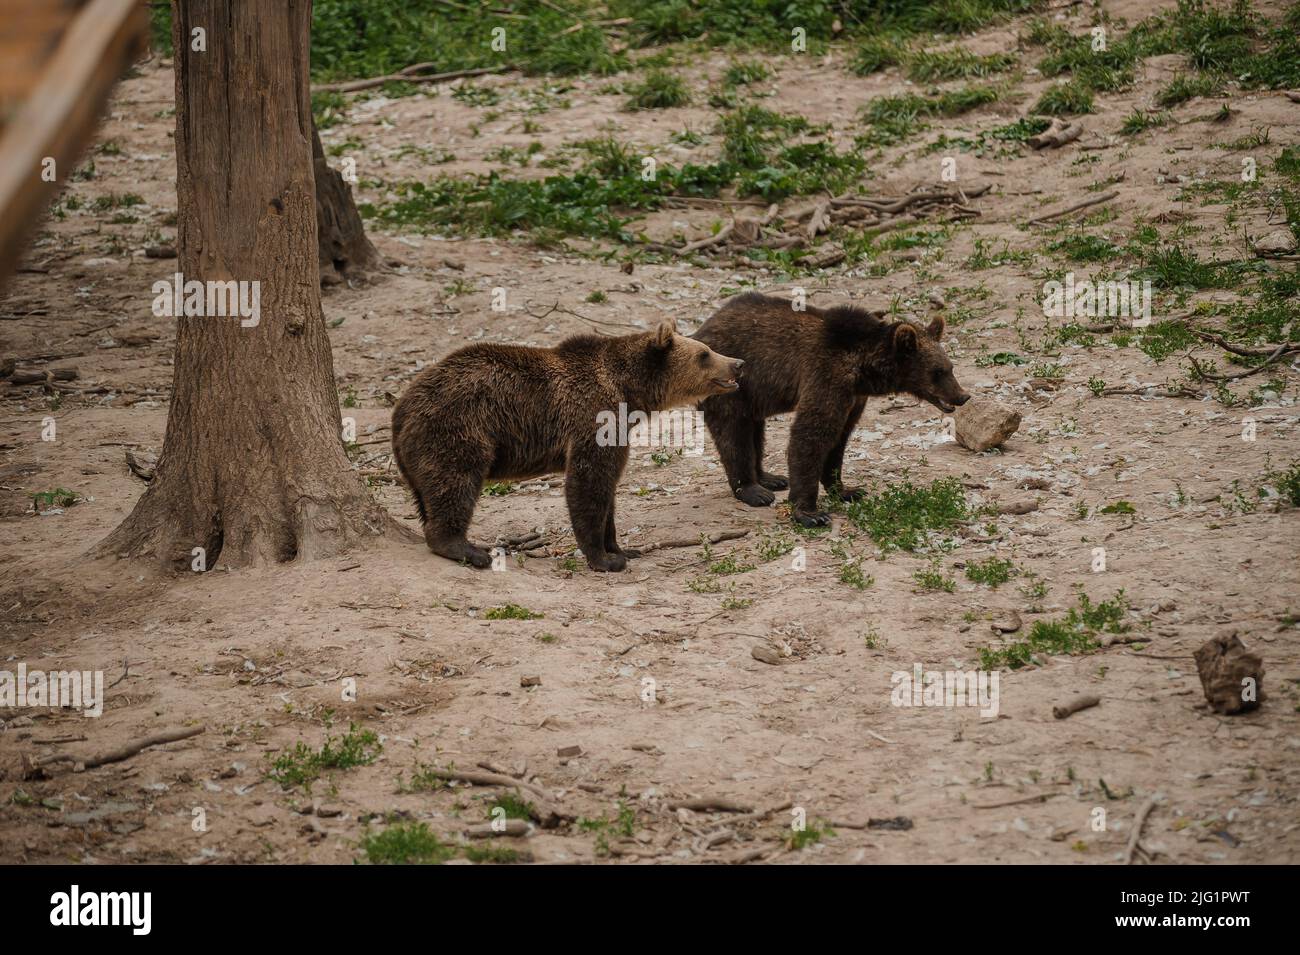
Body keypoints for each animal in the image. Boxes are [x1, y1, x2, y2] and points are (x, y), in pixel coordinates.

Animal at [391, 323, 744, 571]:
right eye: (704, 354)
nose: (738, 363)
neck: (630, 392)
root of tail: (400, 409)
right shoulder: (595, 417)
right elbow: (589, 483)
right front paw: (605, 559)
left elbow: (608, 489)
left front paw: (621, 548)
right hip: (458, 425)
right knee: (456, 481)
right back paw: (468, 549)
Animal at [692, 292, 971, 527]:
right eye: (938, 372)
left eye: (950, 367)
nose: (962, 396)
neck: (863, 369)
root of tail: (700, 331)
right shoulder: (827, 376)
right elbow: (811, 434)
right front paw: (810, 512)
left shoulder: (854, 398)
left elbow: (839, 439)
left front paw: (847, 490)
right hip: (729, 383)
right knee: (734, 431)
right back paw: (754, 490)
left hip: (754, 392)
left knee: (755, 429)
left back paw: (770, 478)